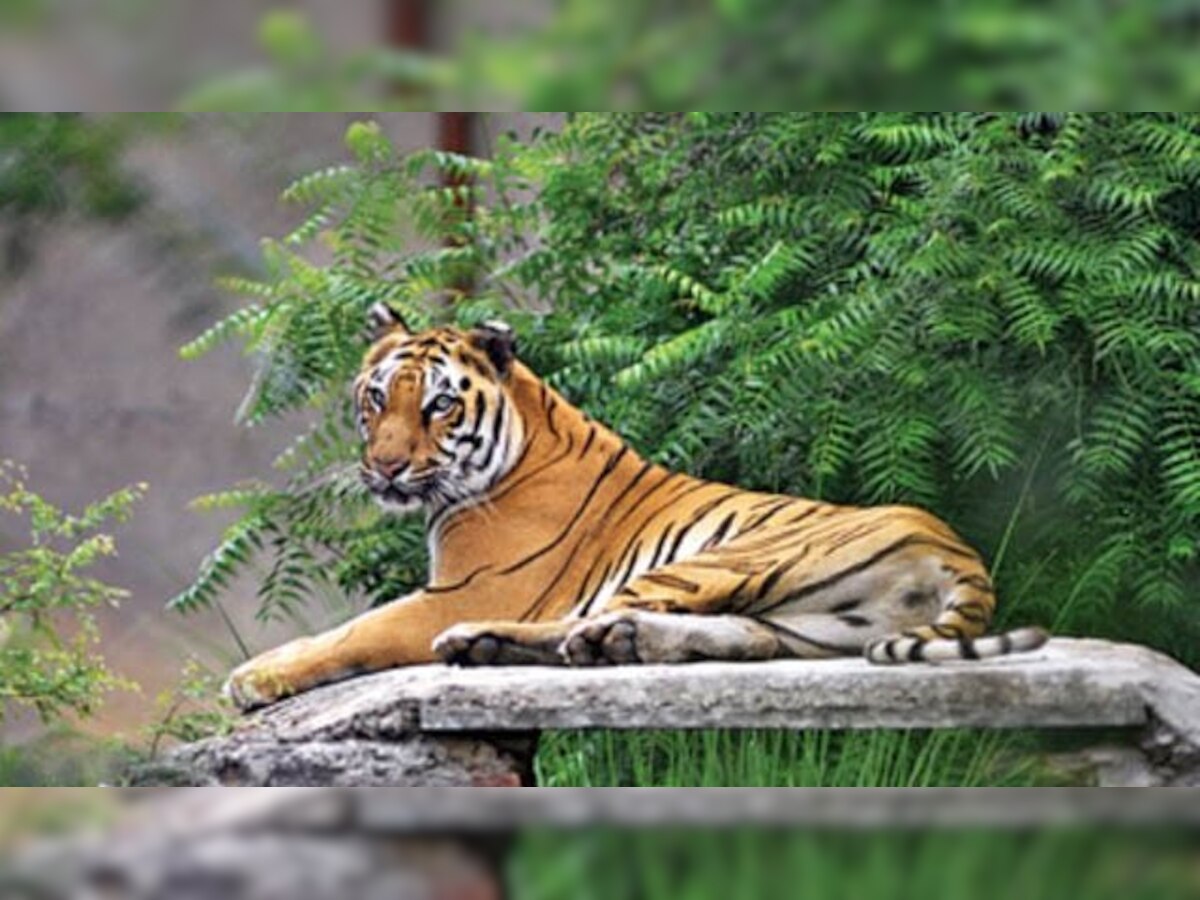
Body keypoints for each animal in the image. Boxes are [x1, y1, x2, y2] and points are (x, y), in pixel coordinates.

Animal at [223, 302, 1048, 710]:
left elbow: (352, 632)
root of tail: (960, 555)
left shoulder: (462, 589)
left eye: (438, 407)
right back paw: (599, 645)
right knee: (746, 640)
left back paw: (489, 642)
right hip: (813, 626)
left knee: (575, 627)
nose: (387, 467)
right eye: (375, 399)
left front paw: (254, 678)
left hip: (724, 557)